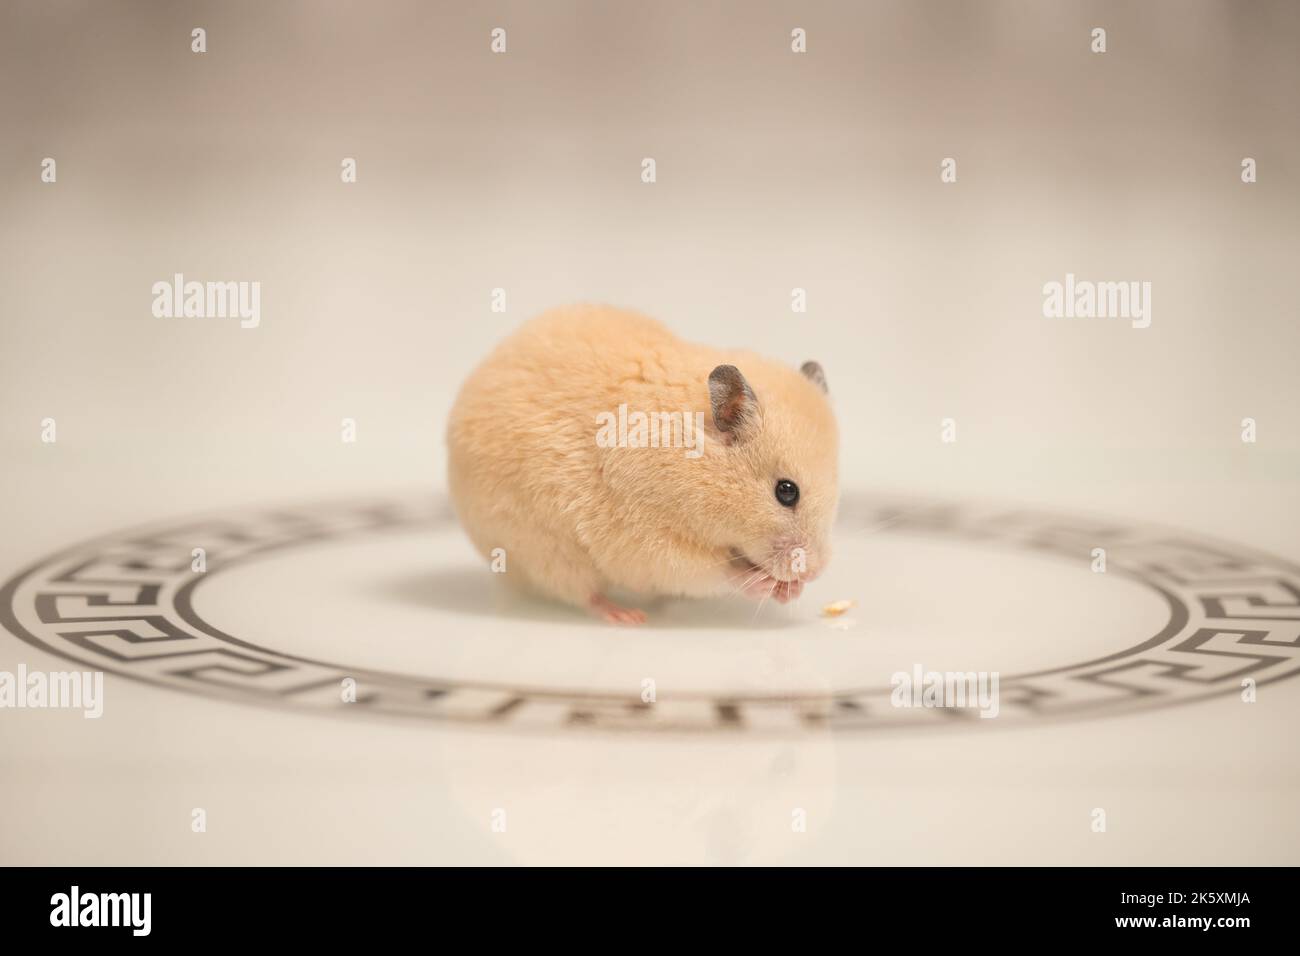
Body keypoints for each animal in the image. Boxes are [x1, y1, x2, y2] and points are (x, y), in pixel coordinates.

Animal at [446, 305, 839, 624]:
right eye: (786, 492)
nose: (816, 573)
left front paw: (792, 590)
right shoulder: (652, 543)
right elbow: (718, 572)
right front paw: (773, 585)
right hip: (545, 554)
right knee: (583, 593)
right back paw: (627, 616)